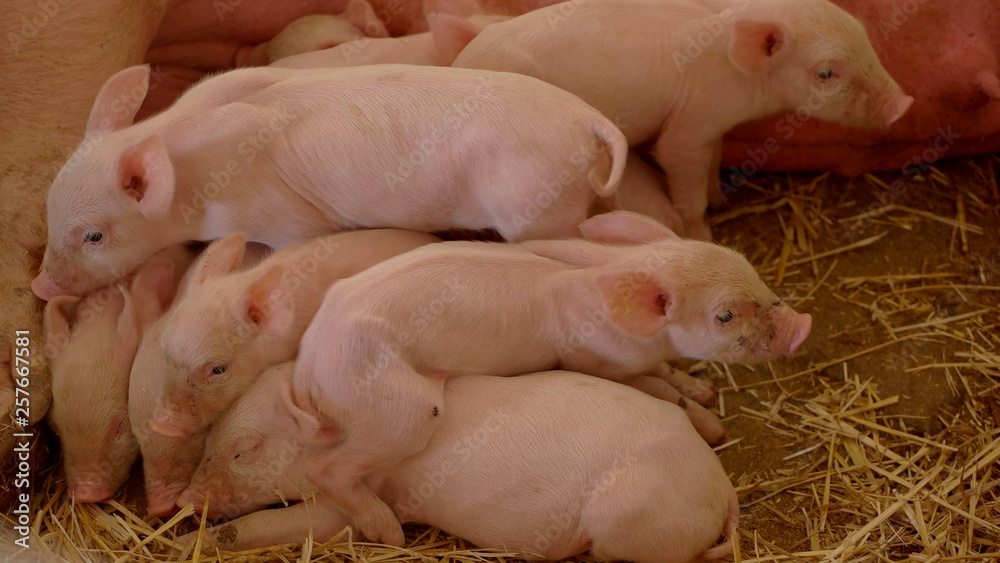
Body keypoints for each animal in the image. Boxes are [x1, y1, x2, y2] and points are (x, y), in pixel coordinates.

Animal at [31, 63, 627, 300]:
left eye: (94, 235)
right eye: (49, 214)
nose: (39, 287)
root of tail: (589, 120)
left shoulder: (283, 218)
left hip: (535, 204)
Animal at [177, 363, 739, 562]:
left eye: (244, 450)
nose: (184, 498)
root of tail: (721, 486)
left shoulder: (355, 497)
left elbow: (311, 522)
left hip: (630, 518)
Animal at [287, 211, 808, 545]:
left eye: (750, 268)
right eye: (724, 315)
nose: (801, 325)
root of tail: (307, 369)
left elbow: (666, 373)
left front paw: (704, 388)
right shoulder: (591, 360)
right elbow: (657, 388)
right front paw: (713, 427)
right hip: (401, 410)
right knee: (324, 469)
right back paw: (390, 535)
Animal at [452, 0, 914, 240]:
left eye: (867, 42)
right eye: (826, 73)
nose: (904, 104)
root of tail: (461, 61)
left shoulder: (712, 126)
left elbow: (716, 161)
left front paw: (722, 199)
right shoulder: (688, 127)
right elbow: (684, 176)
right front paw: (706, 235)